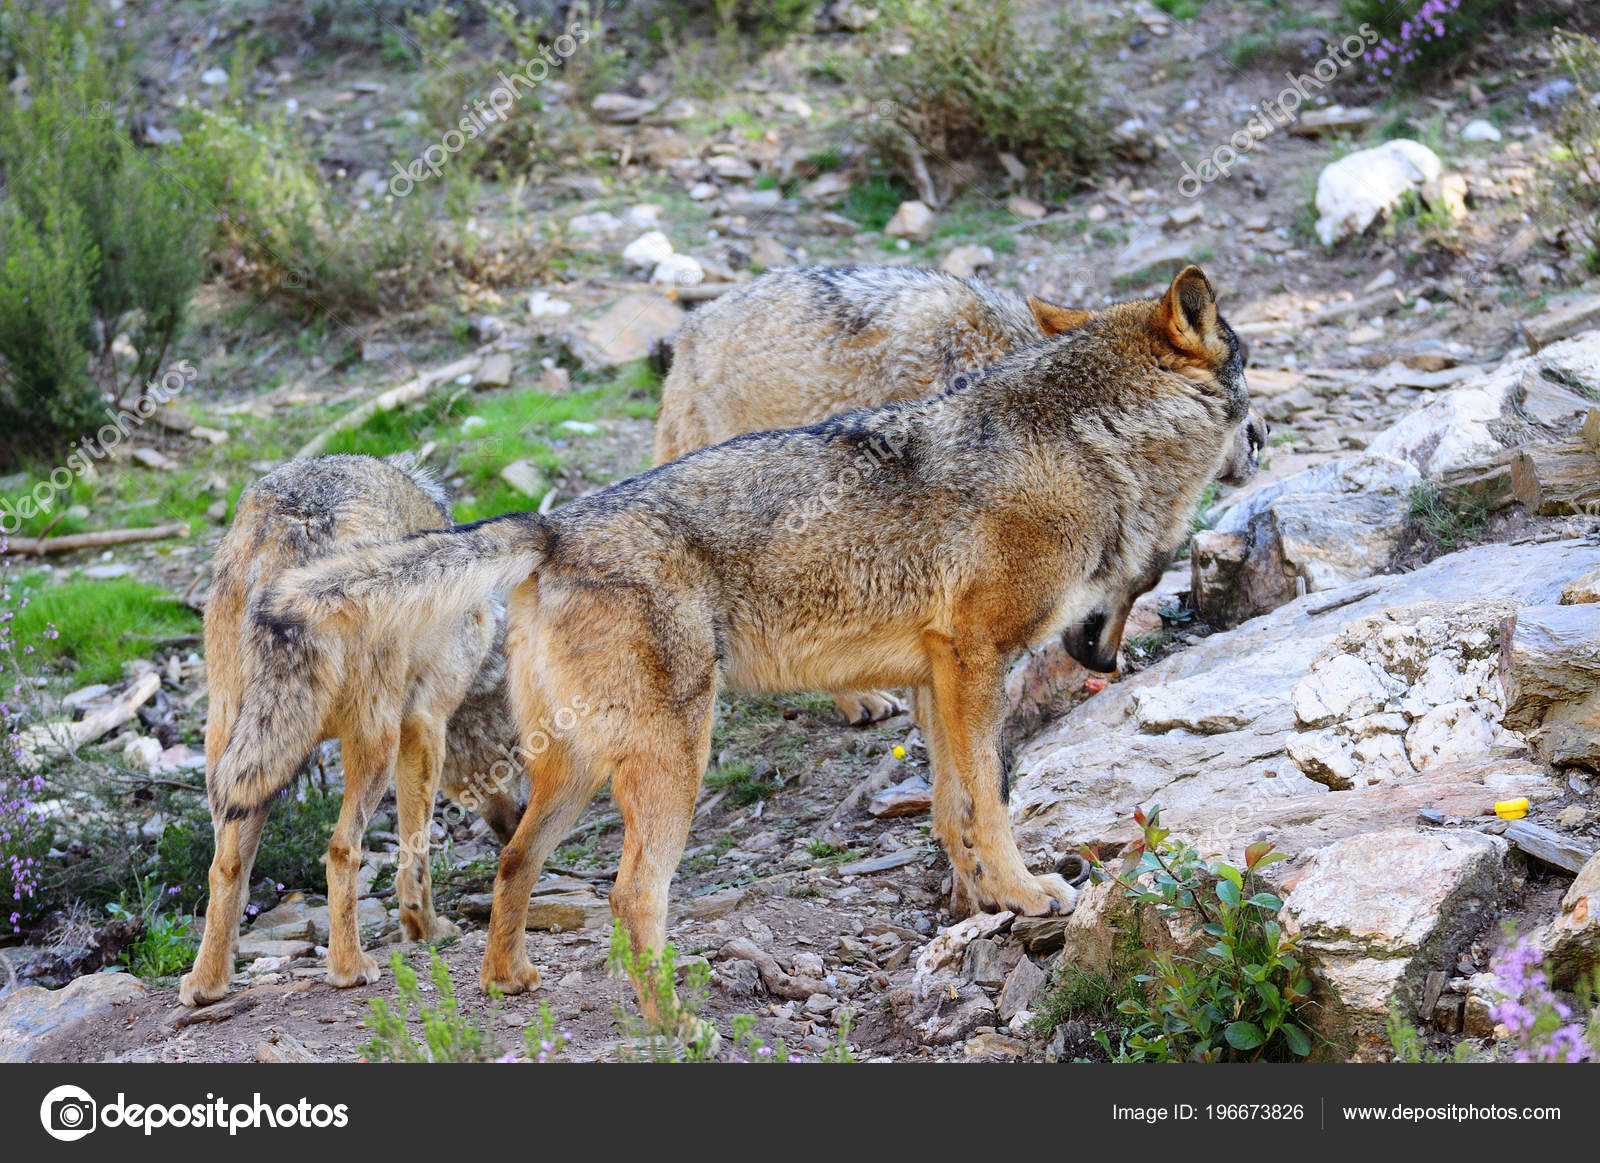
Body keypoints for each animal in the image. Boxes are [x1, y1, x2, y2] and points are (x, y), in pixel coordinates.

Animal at [178, 454, 526, 1007]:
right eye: (516, 753)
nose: (517, 822)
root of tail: (294, 519)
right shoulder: (422, 724)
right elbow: (415, 853)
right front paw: (426, 929)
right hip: (371, 744)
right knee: (343, 849)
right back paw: (349, 968)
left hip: (235, 754)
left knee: (225, 863)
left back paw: (208, 982)